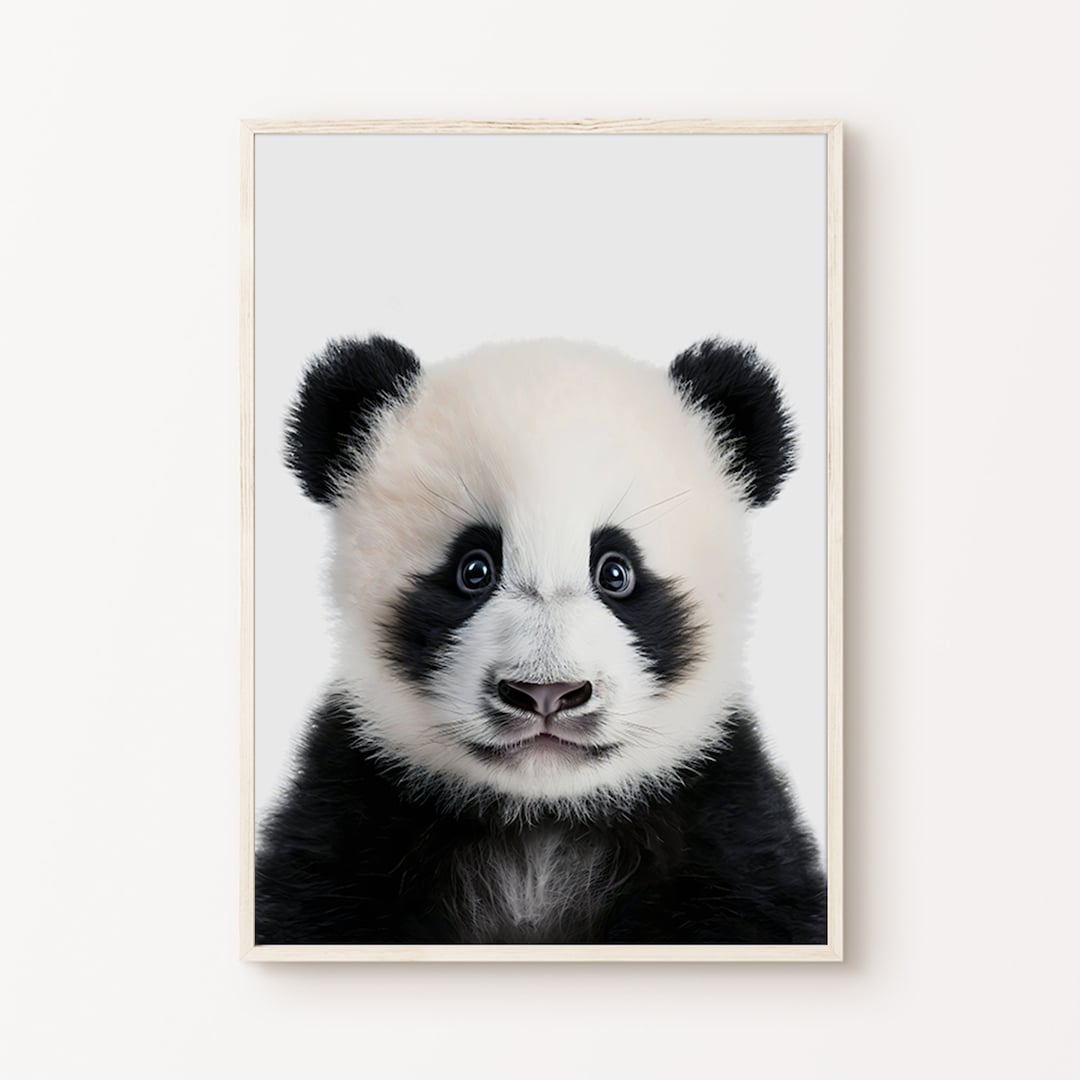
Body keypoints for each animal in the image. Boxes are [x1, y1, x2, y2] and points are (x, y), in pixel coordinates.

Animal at [255, 335, 826, 946]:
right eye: (474, 570)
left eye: (616, 572)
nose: (545, 694)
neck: (539, 825)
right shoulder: (349, 823)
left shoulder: (726, 830)